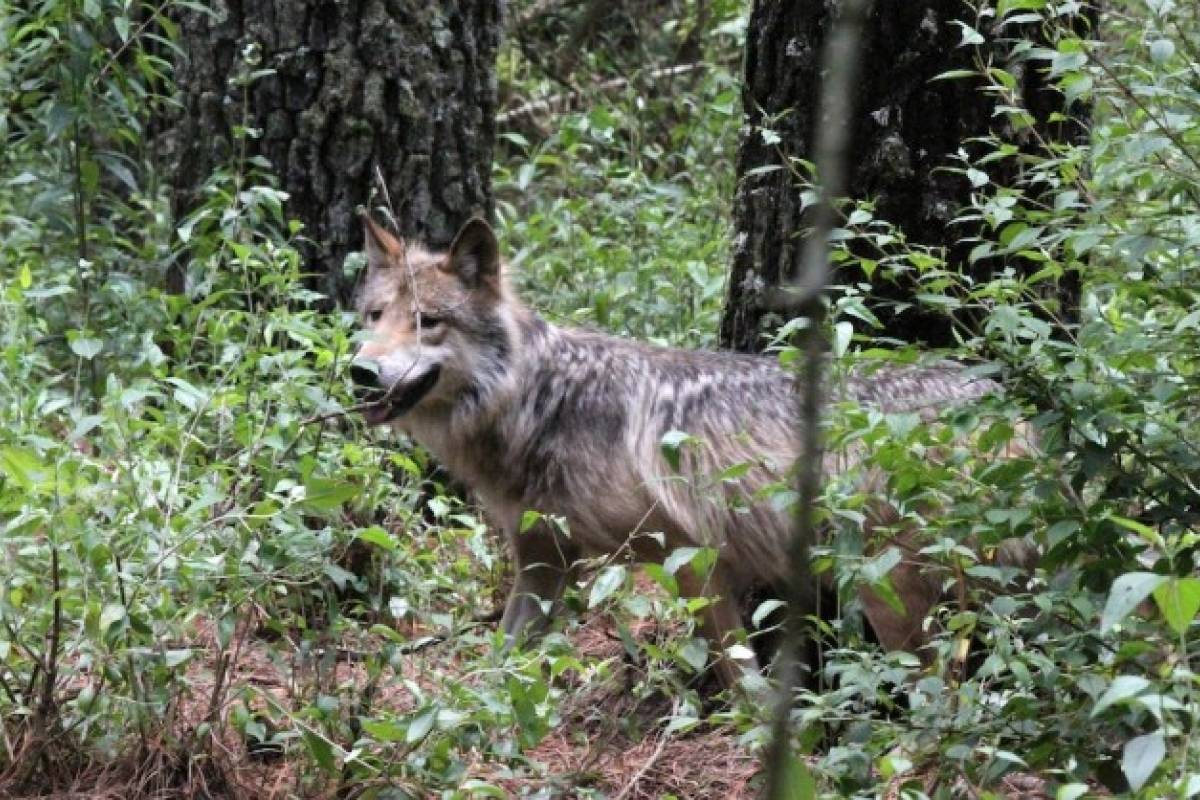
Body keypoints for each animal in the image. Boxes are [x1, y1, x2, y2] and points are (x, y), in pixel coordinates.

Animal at [350, 214, 1016, 689]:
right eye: (374, 315)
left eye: (429, 322)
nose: (360, 371)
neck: (543, 400)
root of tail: (992, 395)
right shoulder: (542, 561)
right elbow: (499, 664)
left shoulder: (693, 559)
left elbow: (739, 672)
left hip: (889, 593)